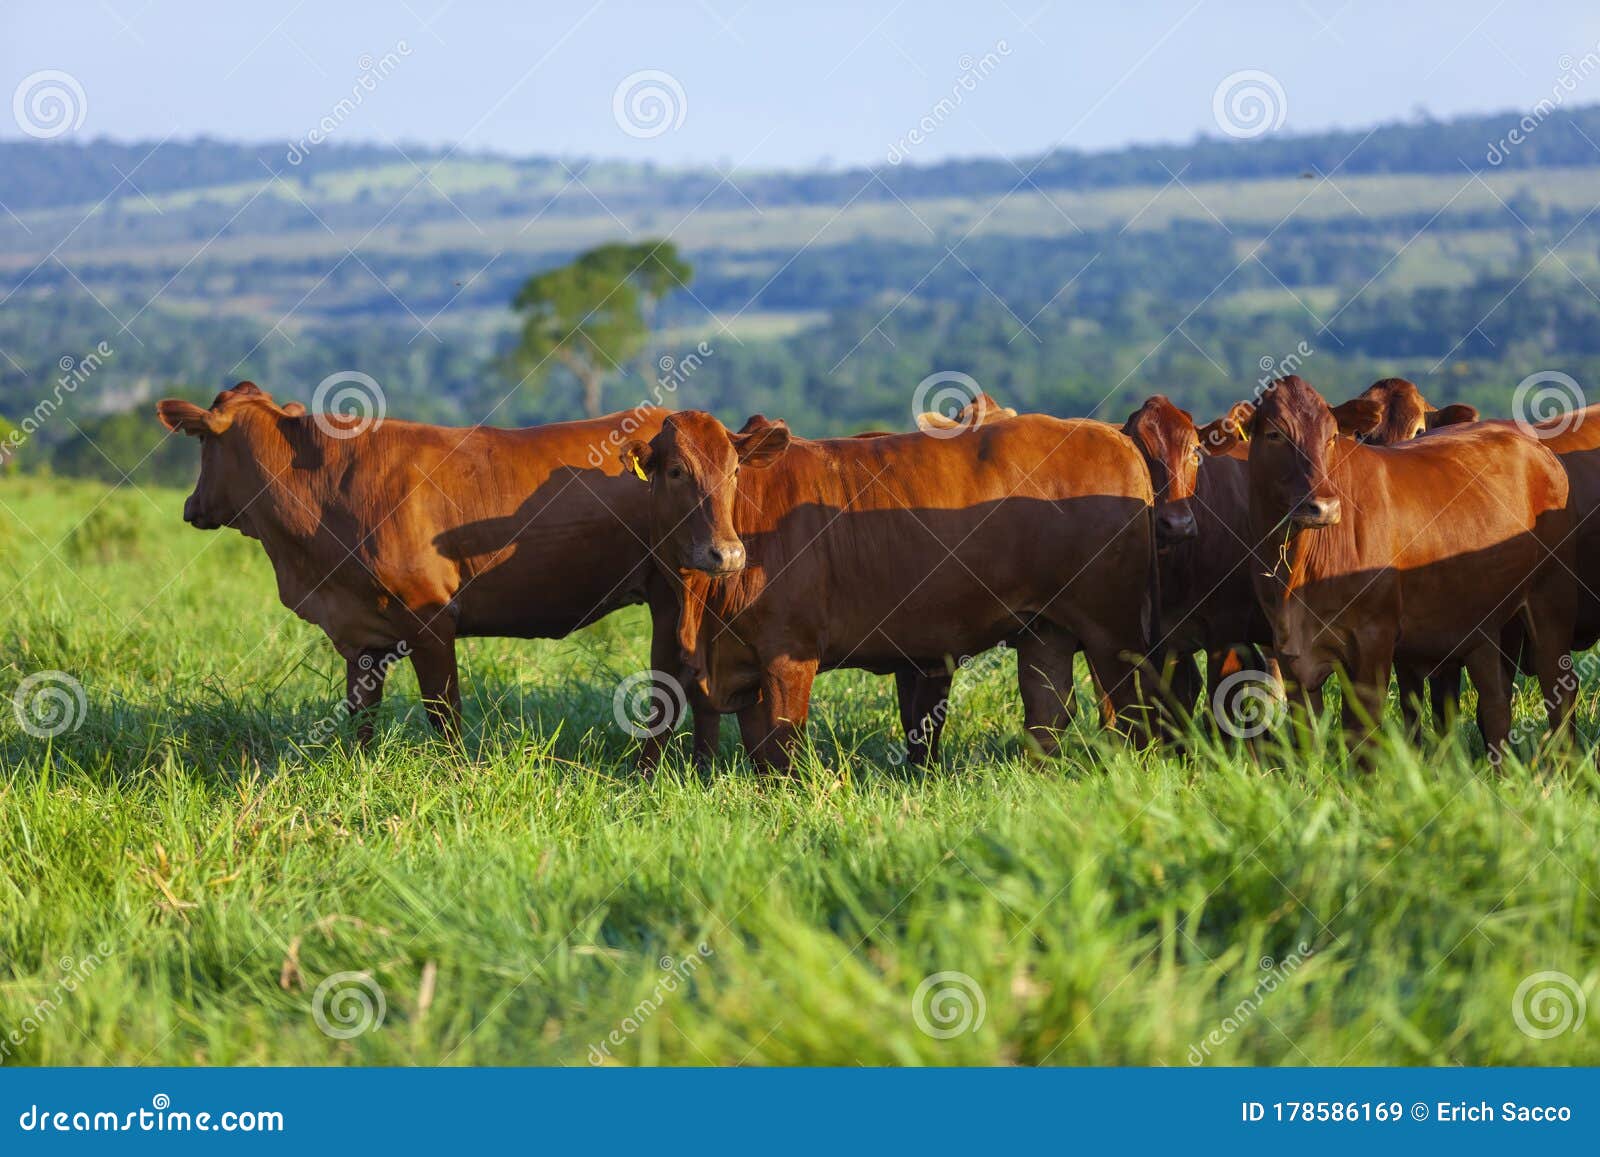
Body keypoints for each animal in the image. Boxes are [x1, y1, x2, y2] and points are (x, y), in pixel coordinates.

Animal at [156, 382, 700, 763]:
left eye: (201, 442)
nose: (190, 504)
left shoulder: (430, 619)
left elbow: (444, 715)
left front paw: (457, 775)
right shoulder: (362, 631)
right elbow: (361, 715)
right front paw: (359, 769)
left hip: (673, 595)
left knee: (668, 687)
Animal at [623, 409, 1155, 772]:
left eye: (734, 471)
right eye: (676, 471)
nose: (727, 554)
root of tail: (1109, 433)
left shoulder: (788, 655)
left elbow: (782, 746)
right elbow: (760, 752)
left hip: (1112, 630)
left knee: (1130, 711)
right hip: (1046, 629)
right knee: (1048, 711)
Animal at [1205, 375, 1575, 760]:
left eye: (1332, 436)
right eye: (1274, 434)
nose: (1323, 507)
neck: (1297, 571)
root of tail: (1538, 449)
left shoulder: (1373, 641)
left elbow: (1361, 736)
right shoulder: (1289, 652)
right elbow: (1309, 740)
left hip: (1550, 602)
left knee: (1559, 687)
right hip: (1483, 626)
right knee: (1495, 703)